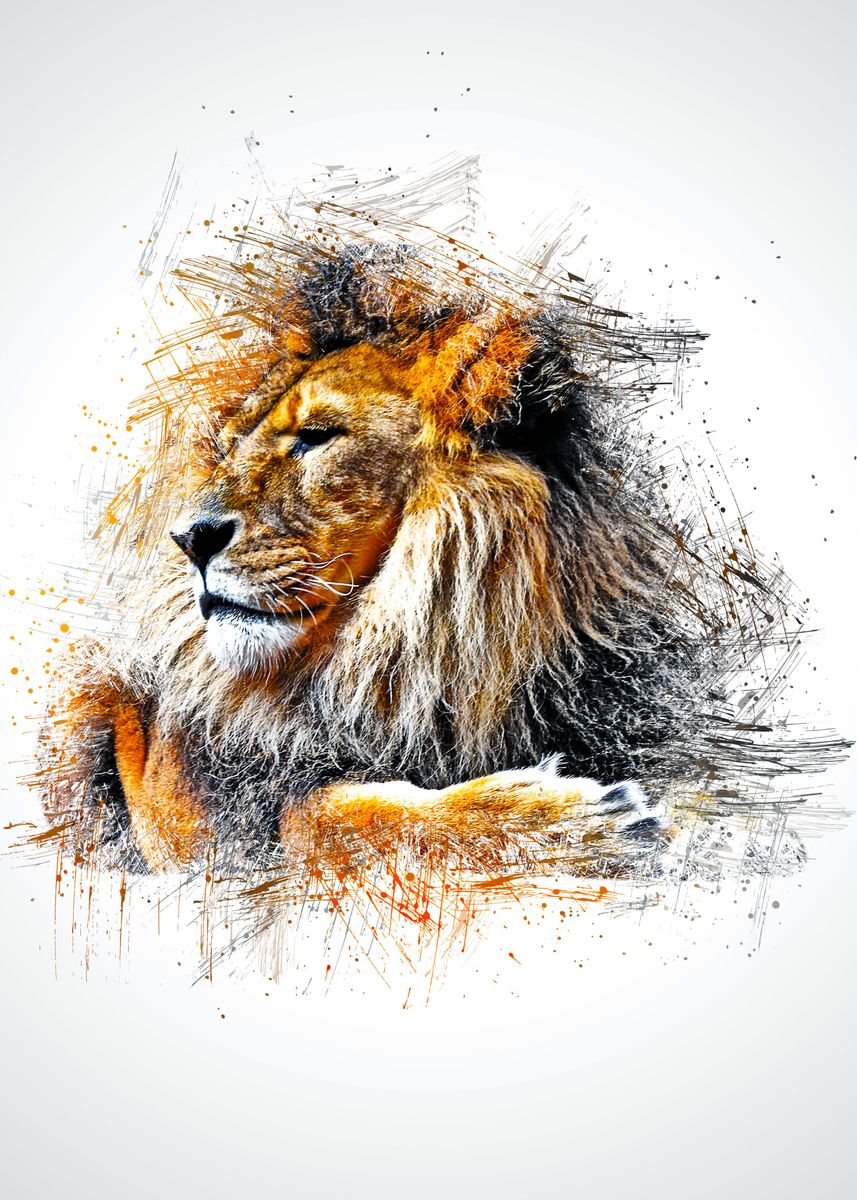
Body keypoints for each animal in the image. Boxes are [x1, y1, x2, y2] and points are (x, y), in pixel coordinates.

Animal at [41, 243, 699, 876]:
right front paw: (584, 824)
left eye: (316, 436)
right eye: (230, 449)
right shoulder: (189, 817)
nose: (189, 537)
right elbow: (319, 822)